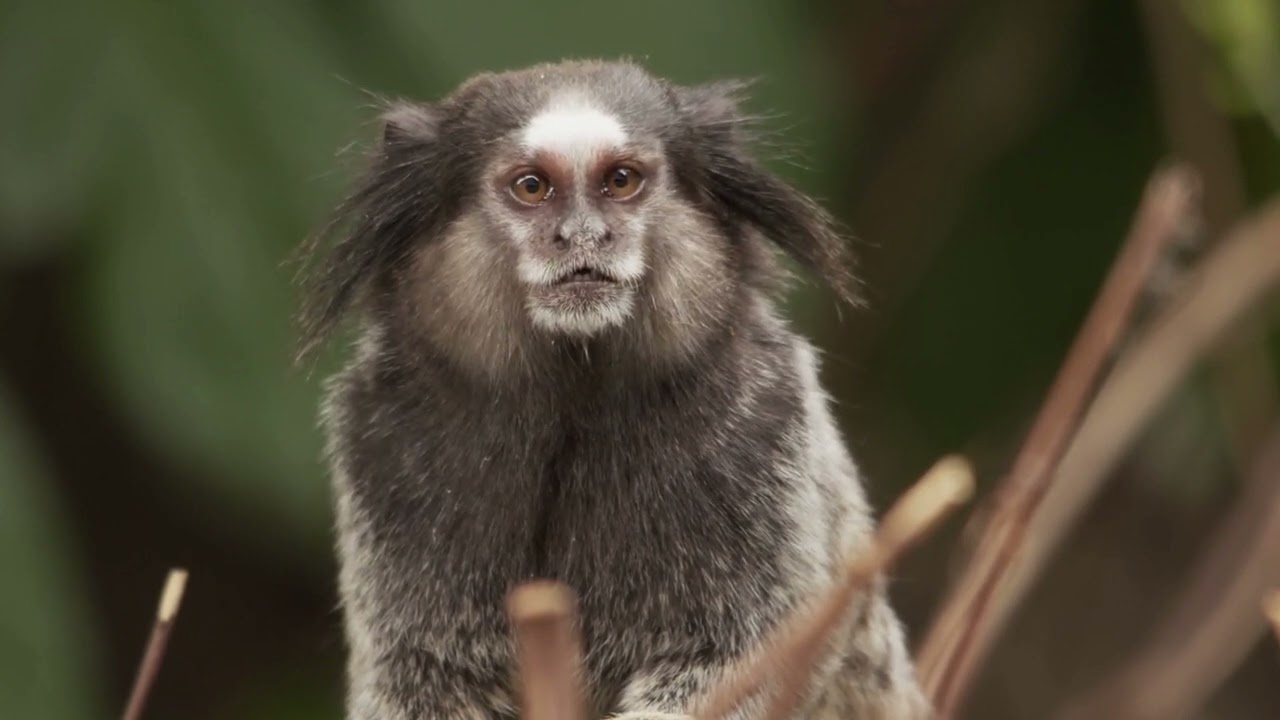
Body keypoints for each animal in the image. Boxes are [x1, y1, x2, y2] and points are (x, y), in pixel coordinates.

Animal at [295, 59, 932, 720]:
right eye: (532, 187)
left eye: (620, 181)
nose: (583, 235)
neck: (573, 399)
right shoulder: (383, 439)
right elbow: (420, 671)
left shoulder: (765, 417)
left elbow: (743, 657)